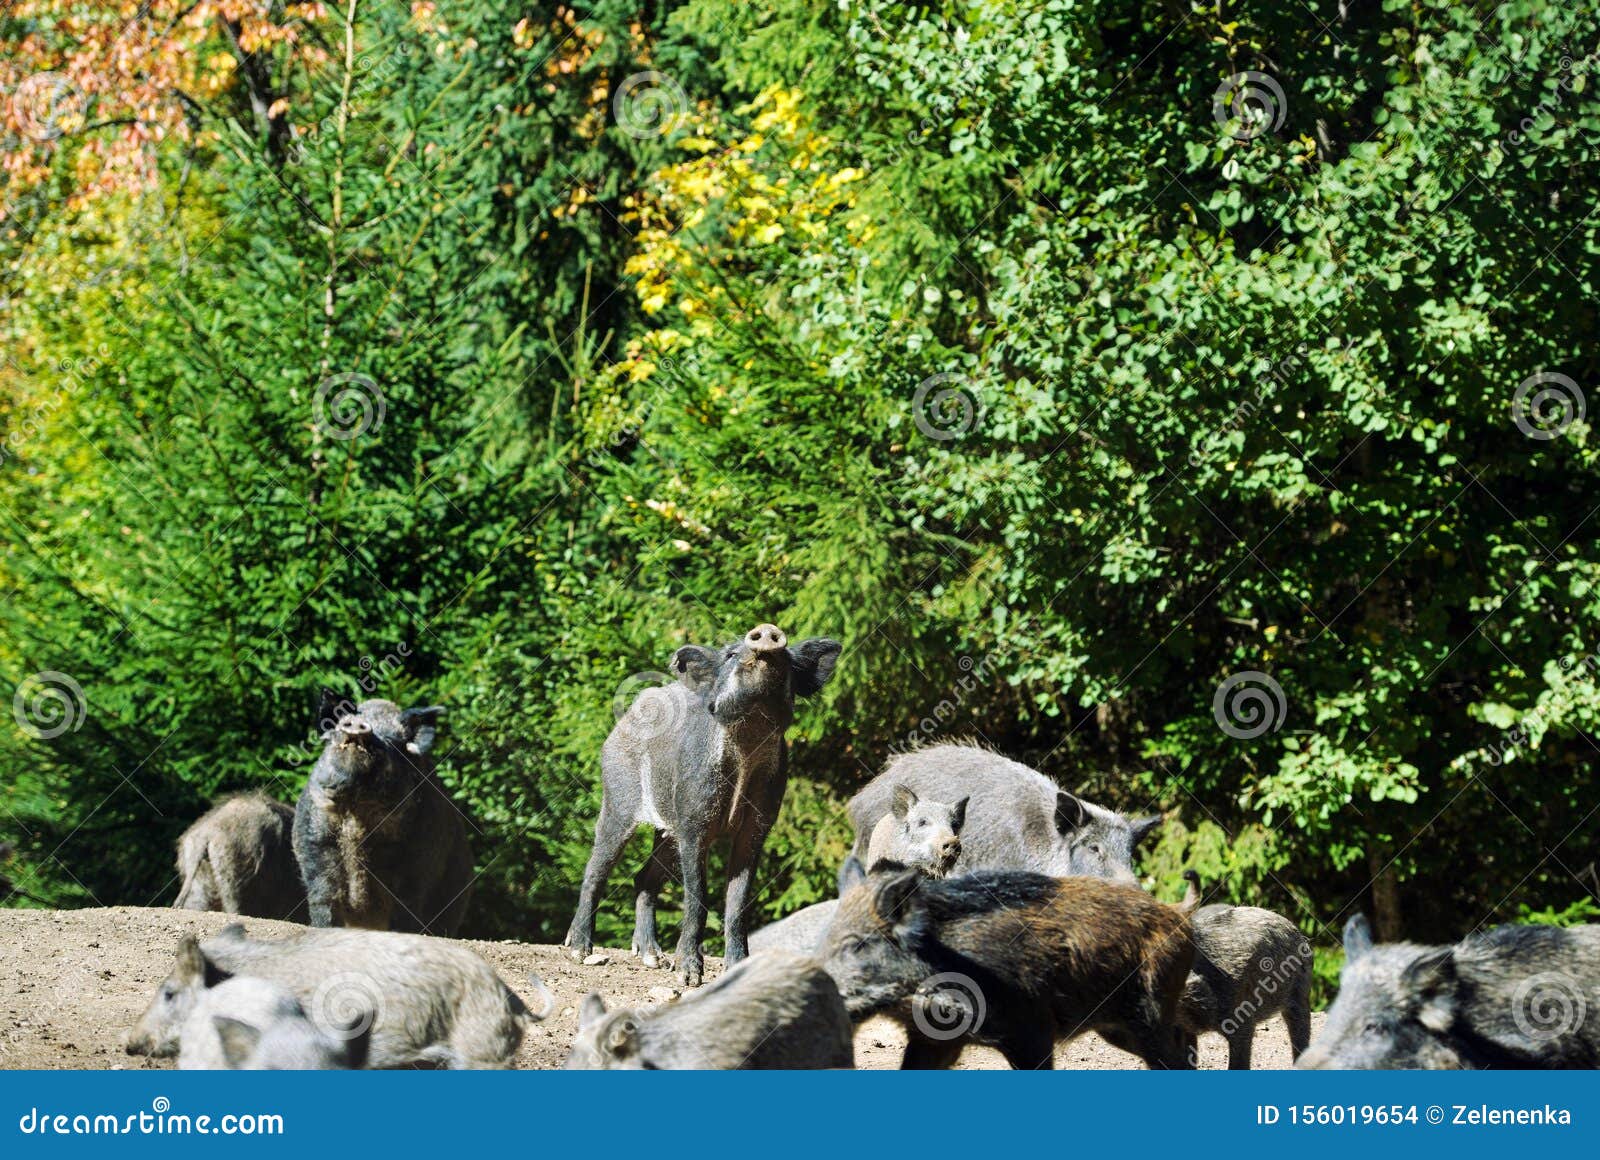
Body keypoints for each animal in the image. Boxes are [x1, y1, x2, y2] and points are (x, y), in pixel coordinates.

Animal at [293, 691, 473, 936]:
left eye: (393, 740)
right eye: (339, 728)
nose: (359, 725)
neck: (356, 811)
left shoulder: (420, 851)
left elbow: (406, 903)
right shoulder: (315, 837)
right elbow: (325, 893)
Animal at [564, 624, 841, 986]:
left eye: (787, 658)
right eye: (730, 654)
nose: (767, 631)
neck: (748, 744)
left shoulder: (756, 827)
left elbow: (738, 902)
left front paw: (737, 970)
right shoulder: (695, 824)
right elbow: (698, 895)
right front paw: (688, 978)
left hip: (668, 831)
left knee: (643, 878)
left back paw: (653, 959)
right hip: (618, 800)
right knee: (595, 868)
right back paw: (580, 952)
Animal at [821, 868, 1194, 1069]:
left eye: (858, 944)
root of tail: (1178, 913)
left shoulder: (1032, 1030)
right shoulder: (933, 1040)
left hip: (1150, 1012)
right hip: (1117, 1027)